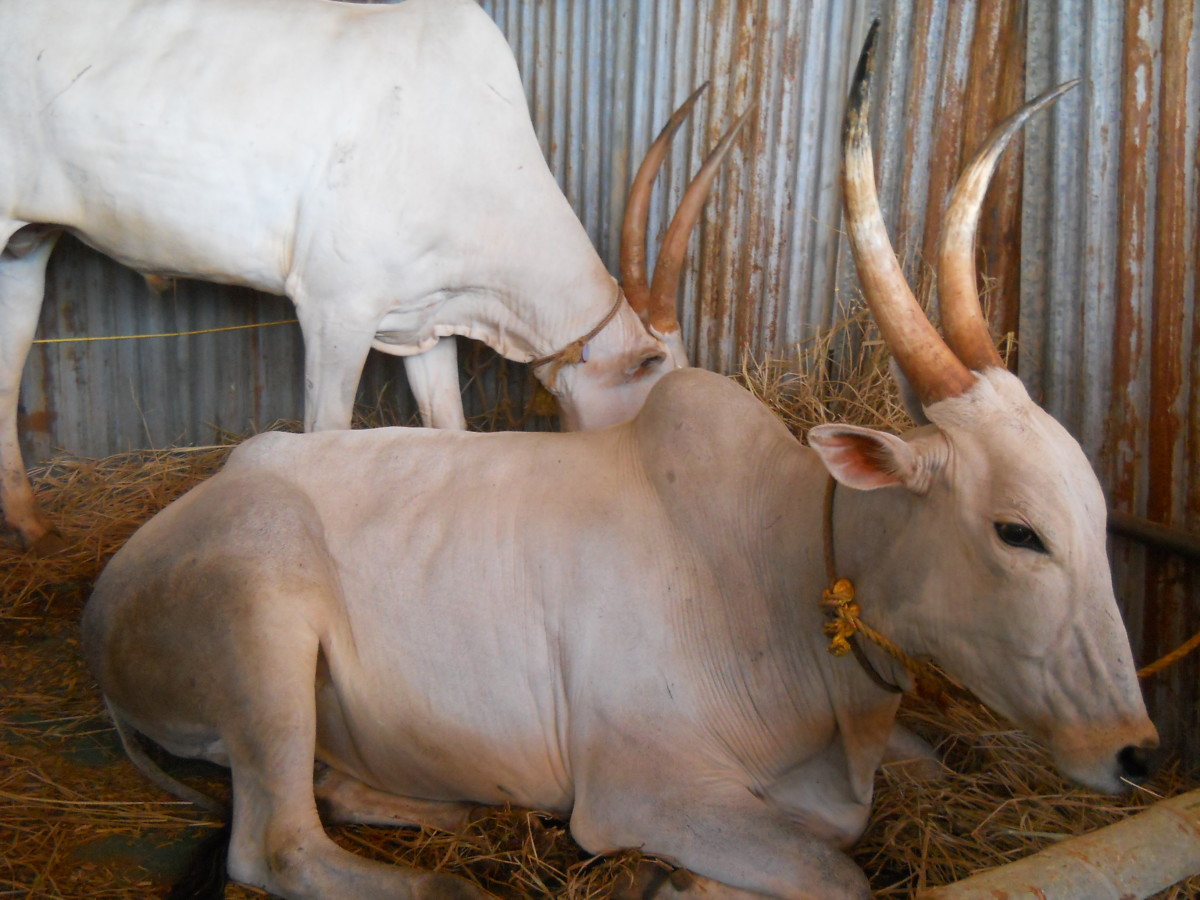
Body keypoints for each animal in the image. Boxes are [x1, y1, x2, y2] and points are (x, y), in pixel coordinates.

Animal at [0, 0, 747, 553]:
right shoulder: (335, 310)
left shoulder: (422, 322)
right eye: (658, 397)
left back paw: (33, 525)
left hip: (24, 248)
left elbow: (451, 430)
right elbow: (324, 437)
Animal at [80, 24, 1157, 900]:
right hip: (262, 620)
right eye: (1017, 531)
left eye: (1098, 518)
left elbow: (918, 774)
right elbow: (840, 873)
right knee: (277, 846)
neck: (781, 568)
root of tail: (110, 588)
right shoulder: (648, 791)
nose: (1136, 753)